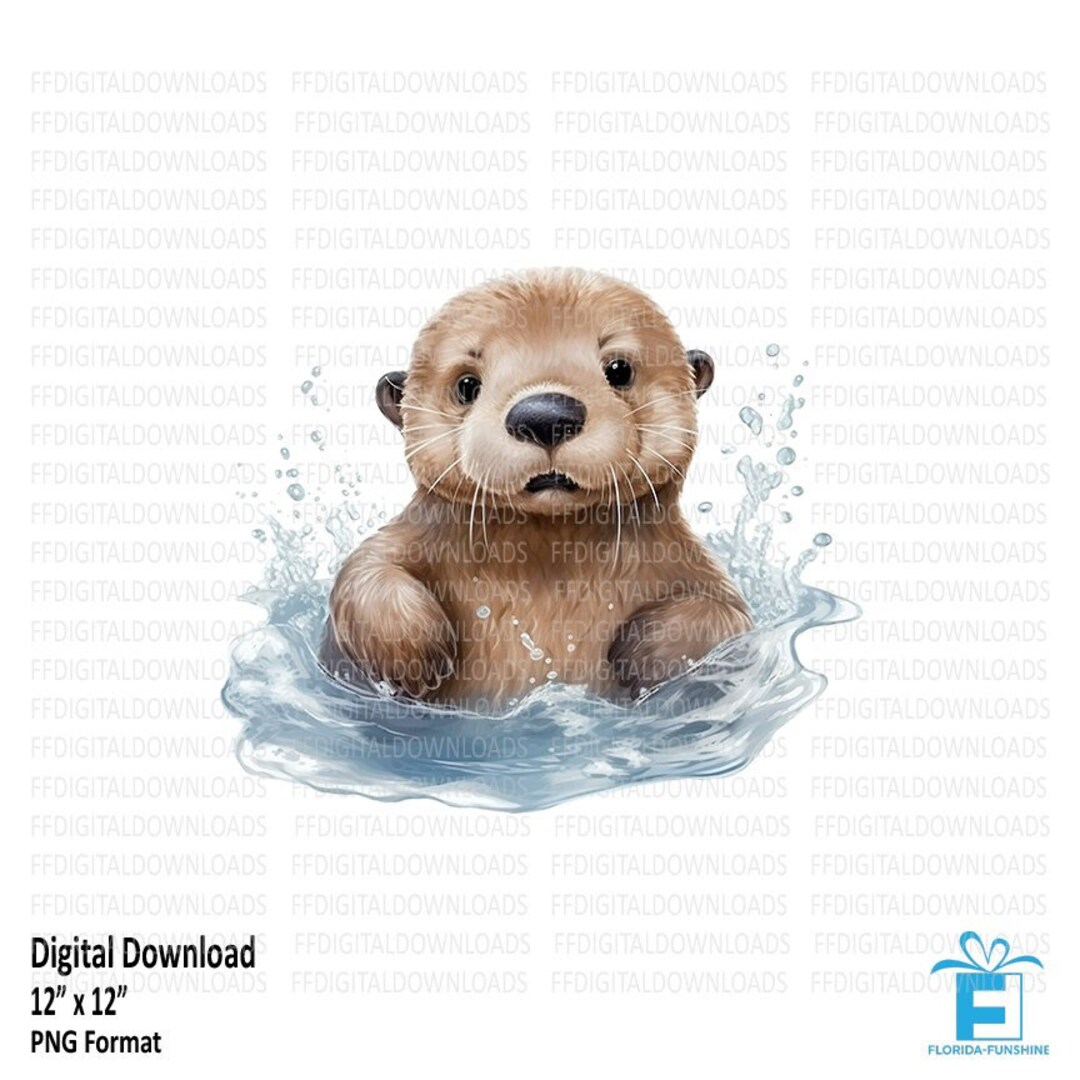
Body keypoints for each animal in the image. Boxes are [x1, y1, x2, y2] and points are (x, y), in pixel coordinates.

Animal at [320, 268, 752, 708]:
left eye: (619, 370)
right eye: (467, 386)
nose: (546, 414)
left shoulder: (696, 568)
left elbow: (727, 617)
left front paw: (643, 652)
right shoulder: (397, 546)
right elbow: (363, 575)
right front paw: (416, 652)